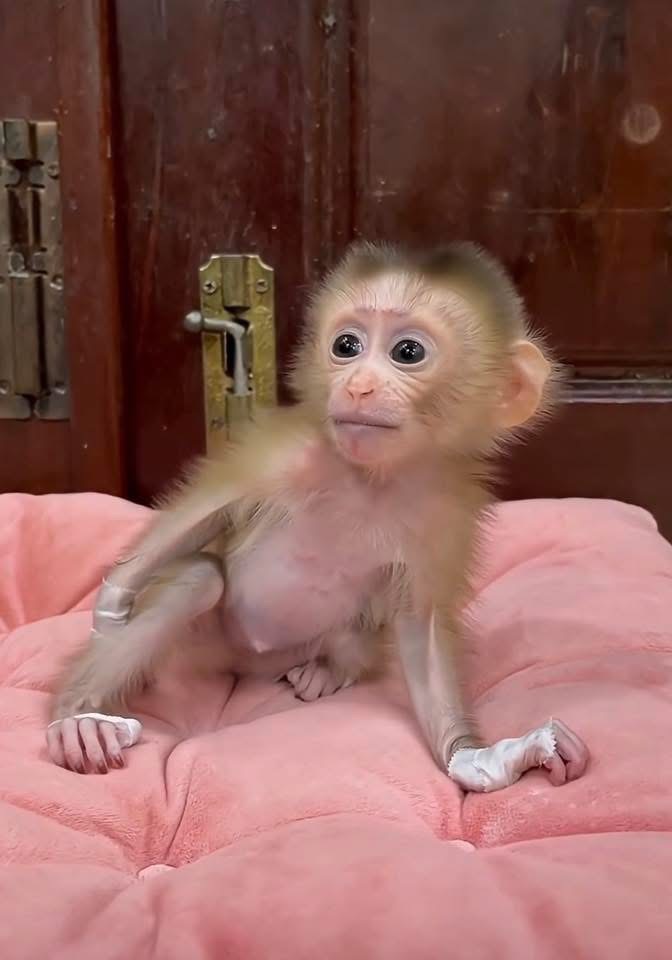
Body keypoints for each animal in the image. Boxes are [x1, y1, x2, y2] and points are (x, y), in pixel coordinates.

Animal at [46, 241, 589, 791]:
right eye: (346, 345)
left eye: (408, 352)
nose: (359, 387)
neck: (371, 479)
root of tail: (250, 661)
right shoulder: (290, 452)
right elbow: (201, 515)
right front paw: (109, 612)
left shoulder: (445, 513)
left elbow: (422, 628)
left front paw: (484, 757)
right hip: (199, 645)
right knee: (197, 578)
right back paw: (81, 717)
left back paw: (325, 672)